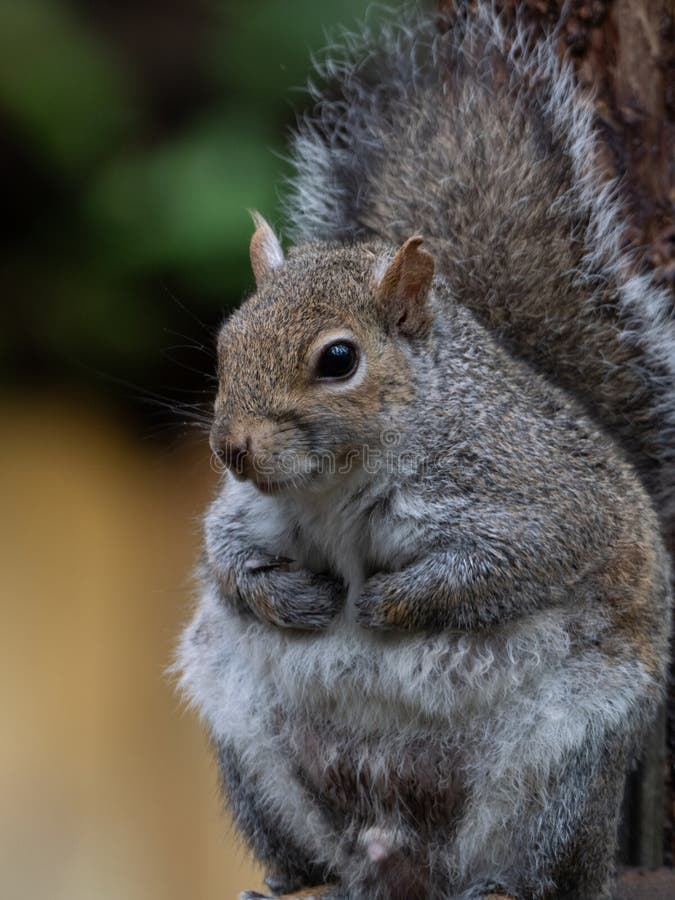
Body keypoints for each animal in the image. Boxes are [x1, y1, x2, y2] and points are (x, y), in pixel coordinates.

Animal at [178, 5, 674, 900]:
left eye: (338, 360)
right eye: (228, 342)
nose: (232, 448)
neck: (334, 489)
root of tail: (402, 856)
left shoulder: (534, 497)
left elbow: (507, 565)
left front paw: (385, 604)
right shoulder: (249, 512)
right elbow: (225, 557)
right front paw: (295, 599)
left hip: (560, 772)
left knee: (543, 867)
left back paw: (506, 885)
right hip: (252, 753)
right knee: (321, 854)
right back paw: (290, 880)